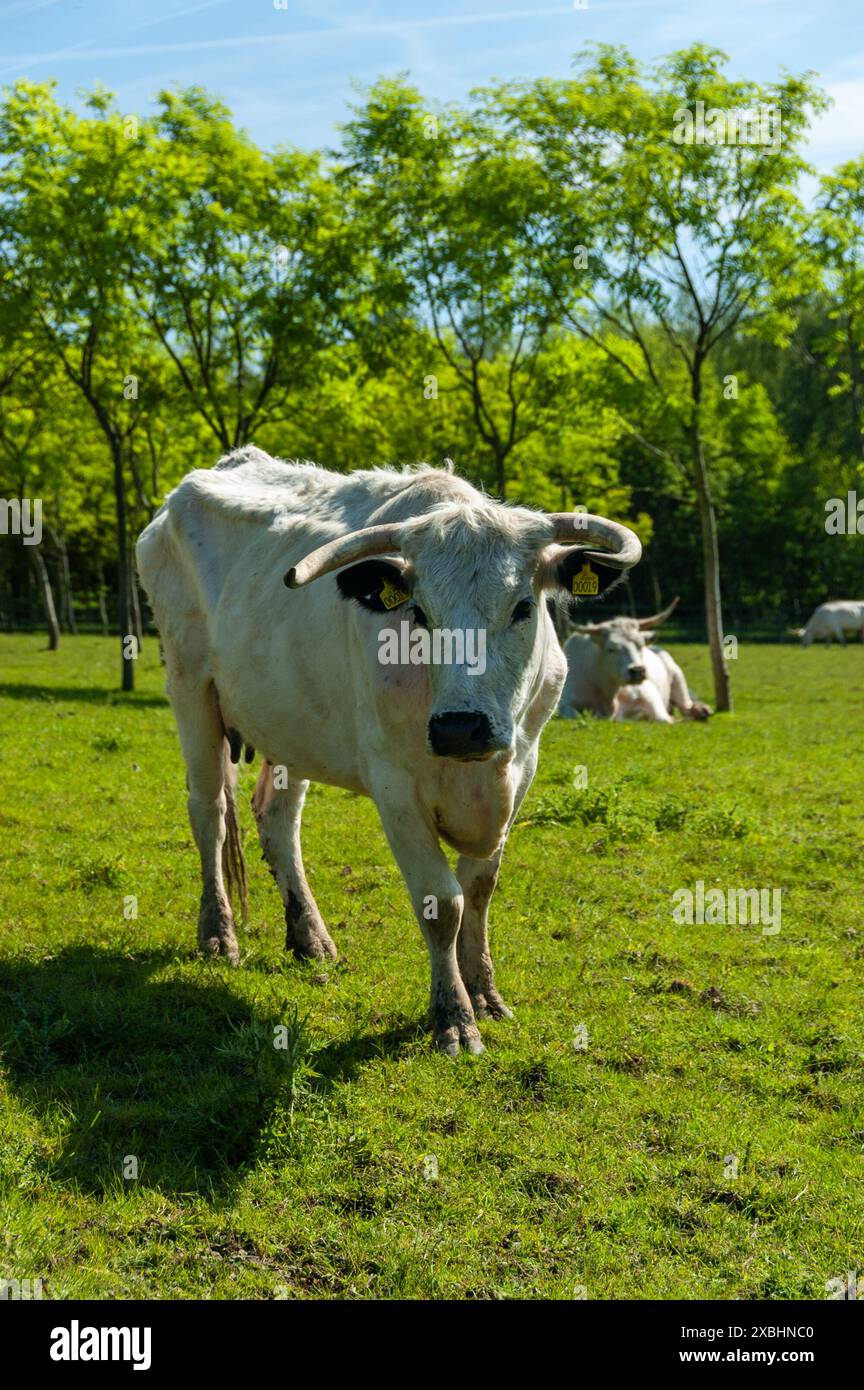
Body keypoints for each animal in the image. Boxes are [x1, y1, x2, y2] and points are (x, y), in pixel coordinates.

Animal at [136, 447, 641, 1056]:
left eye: (523, 606)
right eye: (418, 613)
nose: (460, 728)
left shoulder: (523, 767)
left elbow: (480, 890)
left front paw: (484, 993)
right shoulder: (395, 787)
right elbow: (442, 904)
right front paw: (454, 1017)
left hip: (288, 723)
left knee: (278, 821)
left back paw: (310, 938)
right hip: (191, 689)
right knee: (209, 814)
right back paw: (218, 936)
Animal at [557, 599, 708, 720]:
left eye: (640, 645)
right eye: (611, 649)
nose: (638, 670)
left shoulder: (649, 692)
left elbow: (663, 718)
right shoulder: (565, 703)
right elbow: (574, 715)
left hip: (677, 675)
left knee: (686, 706)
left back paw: (700, 710)